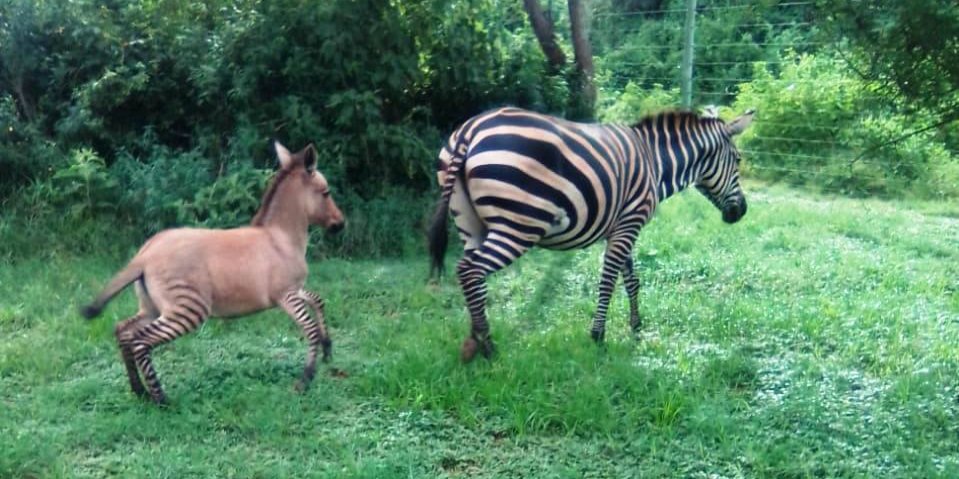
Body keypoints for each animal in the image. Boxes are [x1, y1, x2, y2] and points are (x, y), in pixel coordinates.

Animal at [428, 106, 754, 362]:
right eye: (738, 160)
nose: (741, 212)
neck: (655, 162)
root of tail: (470, 129)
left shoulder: (621, 226)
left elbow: (632, 279)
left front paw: (636, 327)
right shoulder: (629, 223)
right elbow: (608, 281)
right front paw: (598, 336)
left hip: (470, 224)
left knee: (472, 277)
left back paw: (475, 340)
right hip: (518, 226)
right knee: (470, 271)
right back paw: (487, 347)